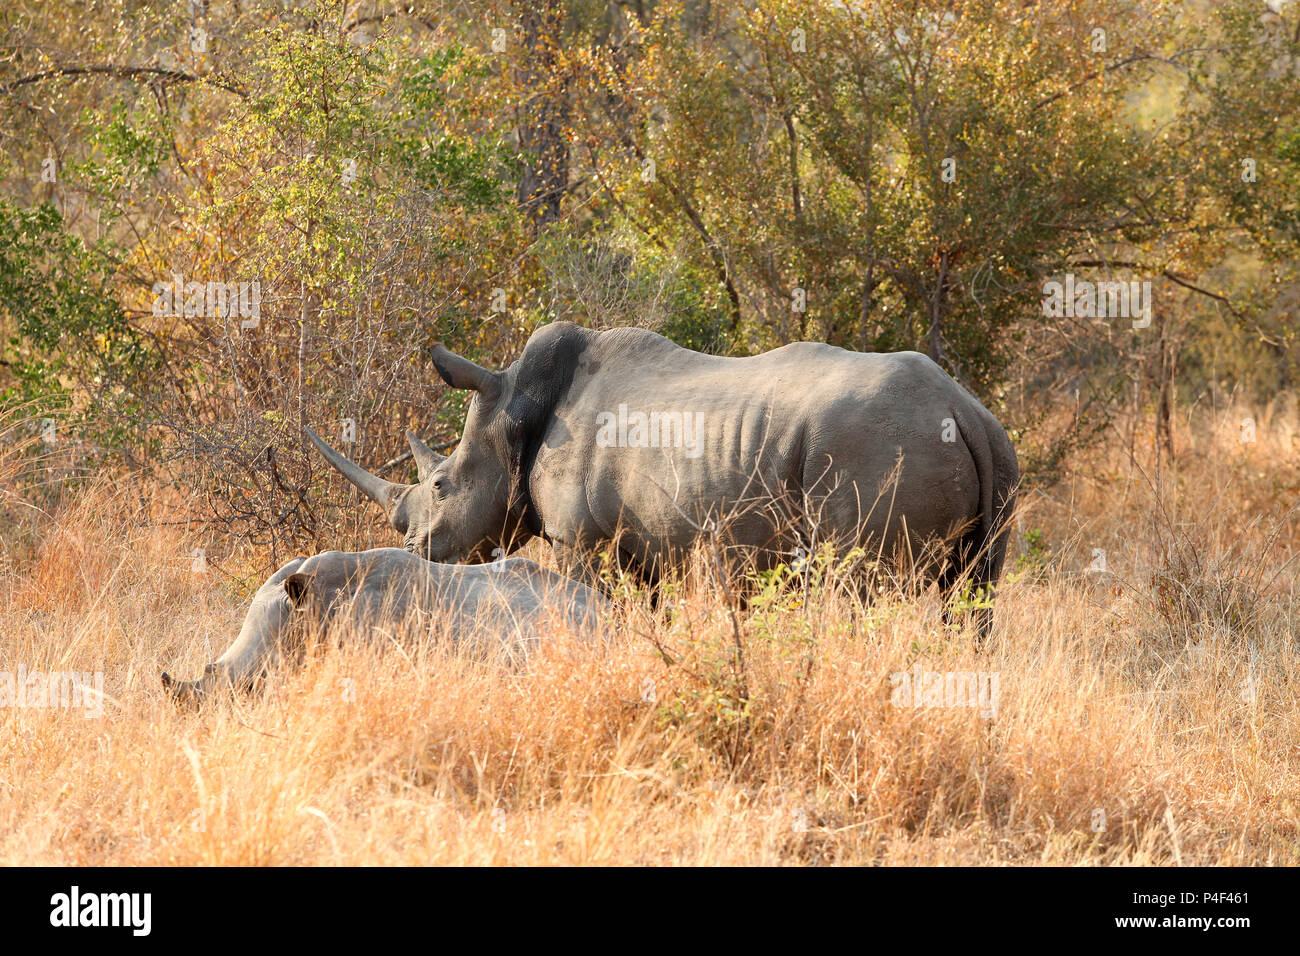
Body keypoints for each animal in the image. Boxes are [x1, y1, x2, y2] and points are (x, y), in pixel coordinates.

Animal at [306, 322, 1018, 636]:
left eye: (441, 487)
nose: (414, 548)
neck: (514, 410)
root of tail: (960, 409)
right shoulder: (644, 541)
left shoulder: (582, 541)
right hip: (996, 453)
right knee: (972, 594)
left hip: (873, 444)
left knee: (863, 587)